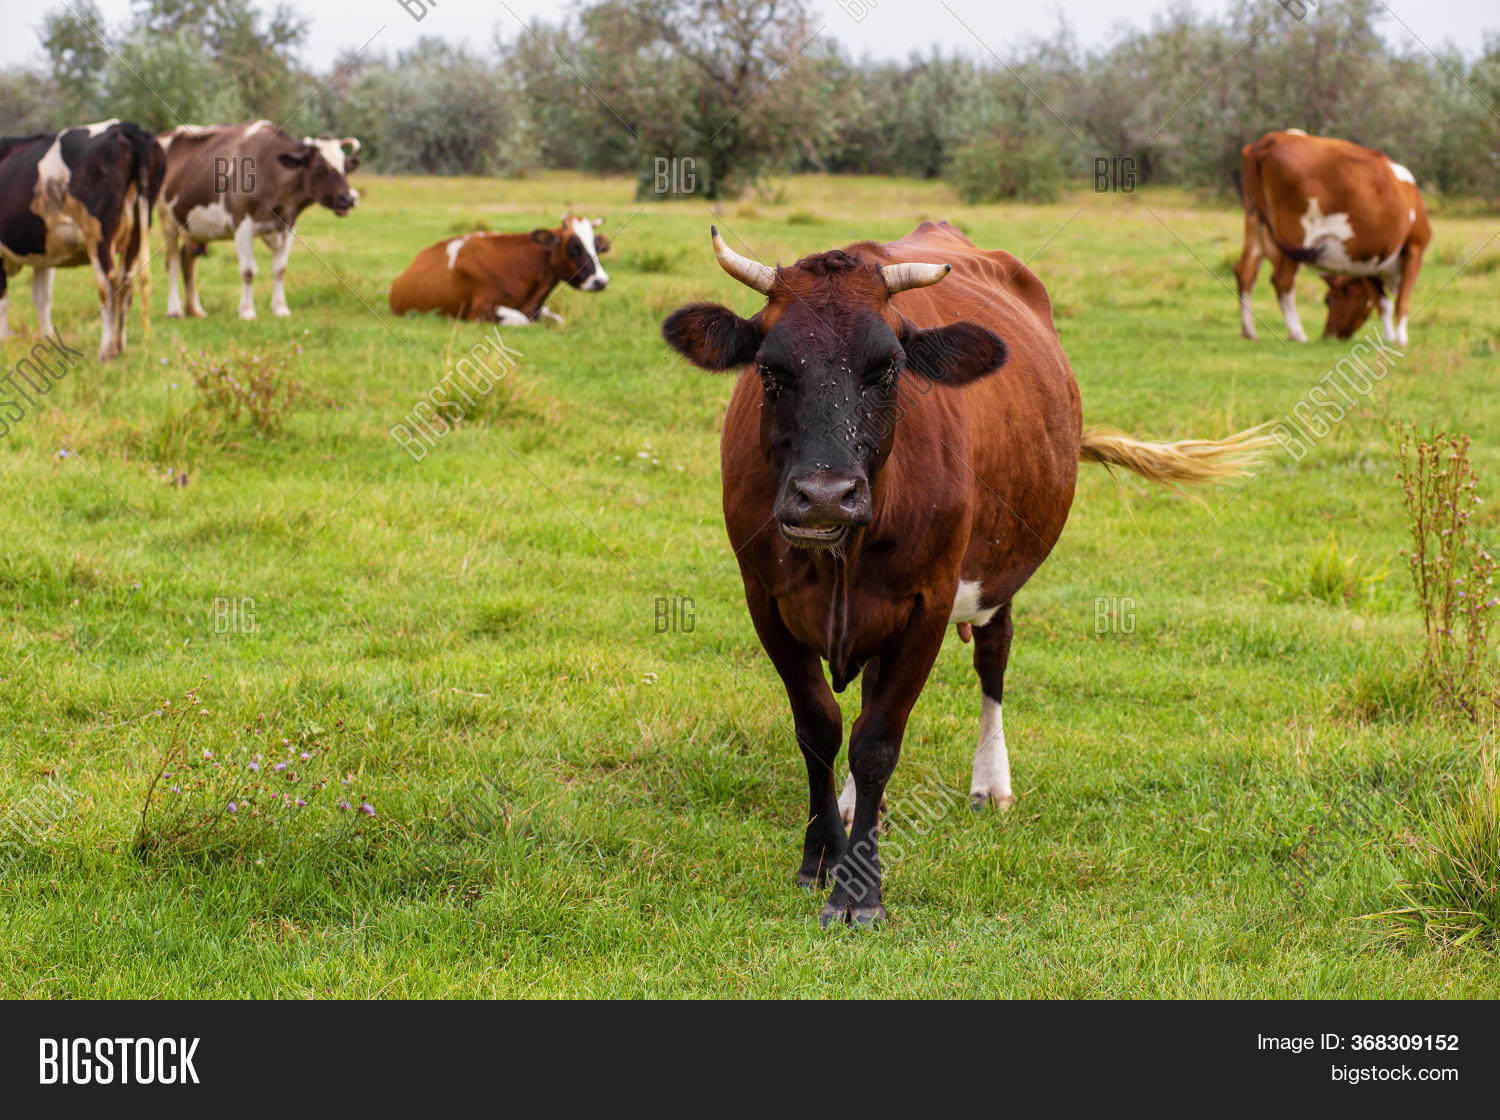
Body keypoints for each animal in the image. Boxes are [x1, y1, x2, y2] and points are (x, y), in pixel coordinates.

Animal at [0, 120, 164, 361]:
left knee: (108, 285)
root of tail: (122, 126)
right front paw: (46, 340)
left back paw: (106, 351)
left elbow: (4, 300)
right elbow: (42, 297)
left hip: (98, 234)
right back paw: (120, 346)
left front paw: (4, 341)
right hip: (137, 232)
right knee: (127, 283)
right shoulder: (44, 255)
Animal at [156, 121, 361, 320]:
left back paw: (195, 310)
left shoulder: (289, 227)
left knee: (188, 262)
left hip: (192, 228)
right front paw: (247, 311)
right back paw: (175, 310)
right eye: (319, 167)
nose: (349, 198)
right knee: (173, 264)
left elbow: (280, 269)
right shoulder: (242, 225)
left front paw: (280, 309)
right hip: (168, 223)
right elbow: (248, 271)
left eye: (345, 167)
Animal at [388, 214, 610, 324]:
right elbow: (523, 320)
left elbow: (558, 319)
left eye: (596, 245)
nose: (601, 281)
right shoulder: (480, 311)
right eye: (574, 247)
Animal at [662, 222, 1269, 926]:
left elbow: (876, 744)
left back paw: (990, 783)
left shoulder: (928, 602)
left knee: (992, 661)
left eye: (888, 369)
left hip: (999, 577)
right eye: (769, 369)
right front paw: (821, 859)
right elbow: (820, 729)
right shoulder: (765, 599)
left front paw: (861, 892)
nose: (824, 496)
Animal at [1235, 129, 1430, 345]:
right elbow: (1402, 301)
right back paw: (1297, 333)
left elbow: (1383, 304)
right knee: (1282, 280)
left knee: (1246, 272)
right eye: (1327, 301)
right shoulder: (1415, 247)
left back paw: (1249, 331)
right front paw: (1401, 340)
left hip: (1255, 221)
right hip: (1294, 234)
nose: (1328, 334)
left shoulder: (1370, 261)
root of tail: (1270, 139)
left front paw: (1387, 339)